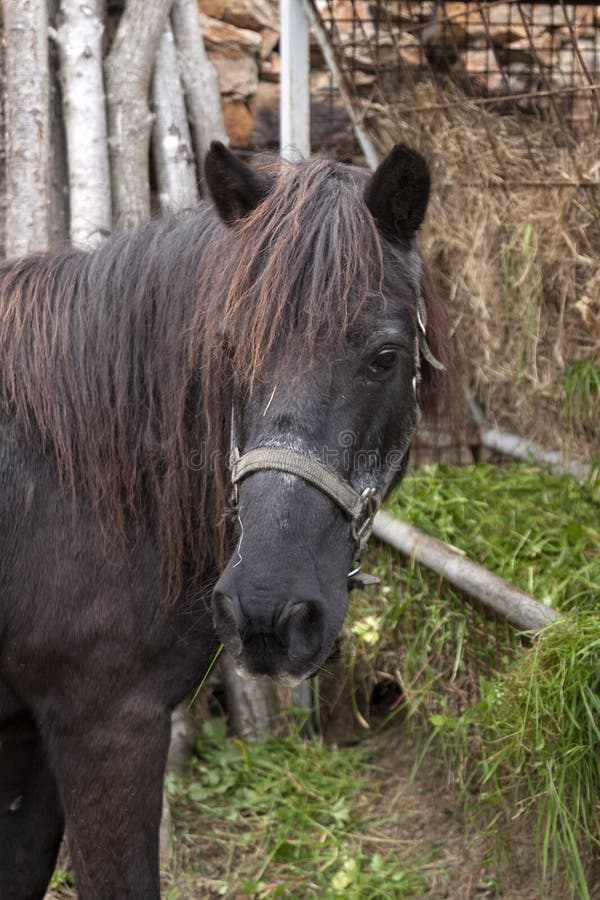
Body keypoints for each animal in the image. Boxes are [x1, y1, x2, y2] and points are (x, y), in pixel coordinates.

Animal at [0, 141, 447, 899]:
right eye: (231, 349)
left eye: (385, 357)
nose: (267, 610)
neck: (68, 472)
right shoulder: (104, 727)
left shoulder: (29, 737)